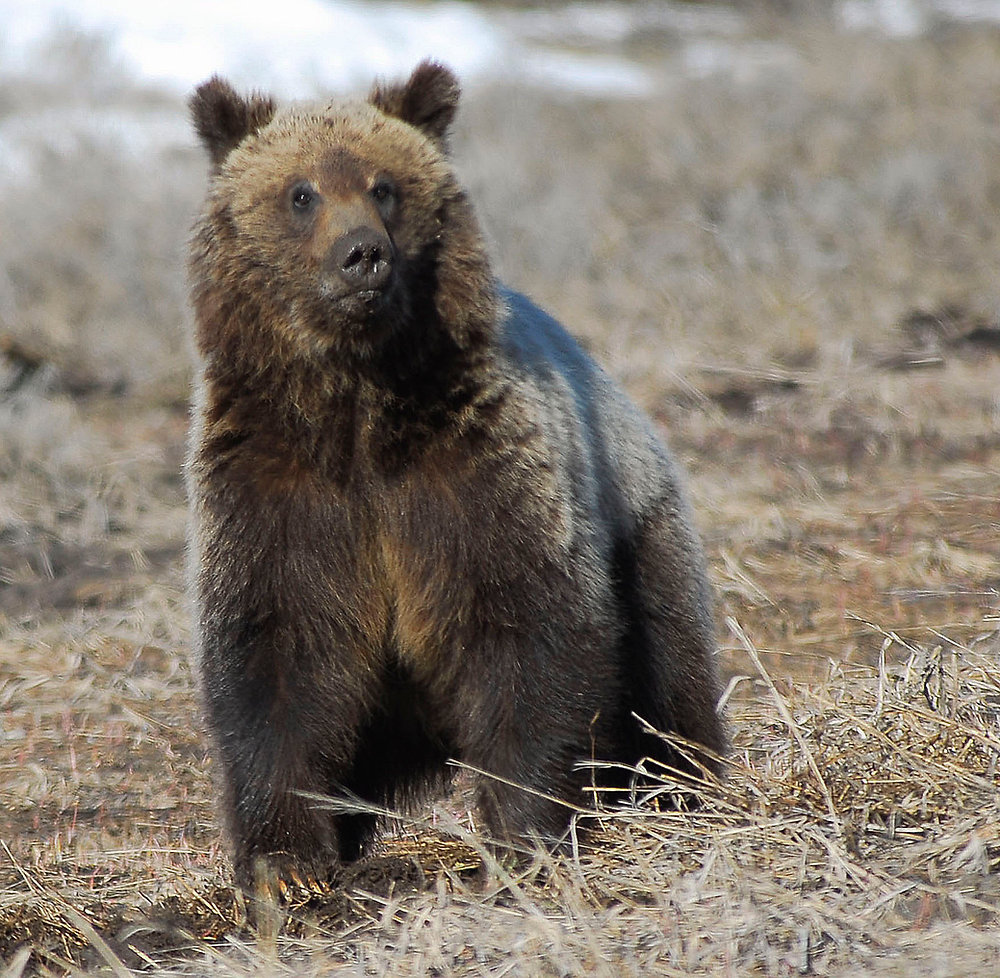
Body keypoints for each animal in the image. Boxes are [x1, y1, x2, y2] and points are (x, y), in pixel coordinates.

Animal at [186, 60, 726, 892]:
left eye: (384, 187)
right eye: (301, 193)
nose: (362, 255)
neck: (360, 411)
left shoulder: (473, 469)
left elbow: (526, 628)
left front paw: (524, 834)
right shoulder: (280, 484)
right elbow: (276, 648)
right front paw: (287, 861)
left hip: (644, 532)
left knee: (670, 675)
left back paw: (683, 788)